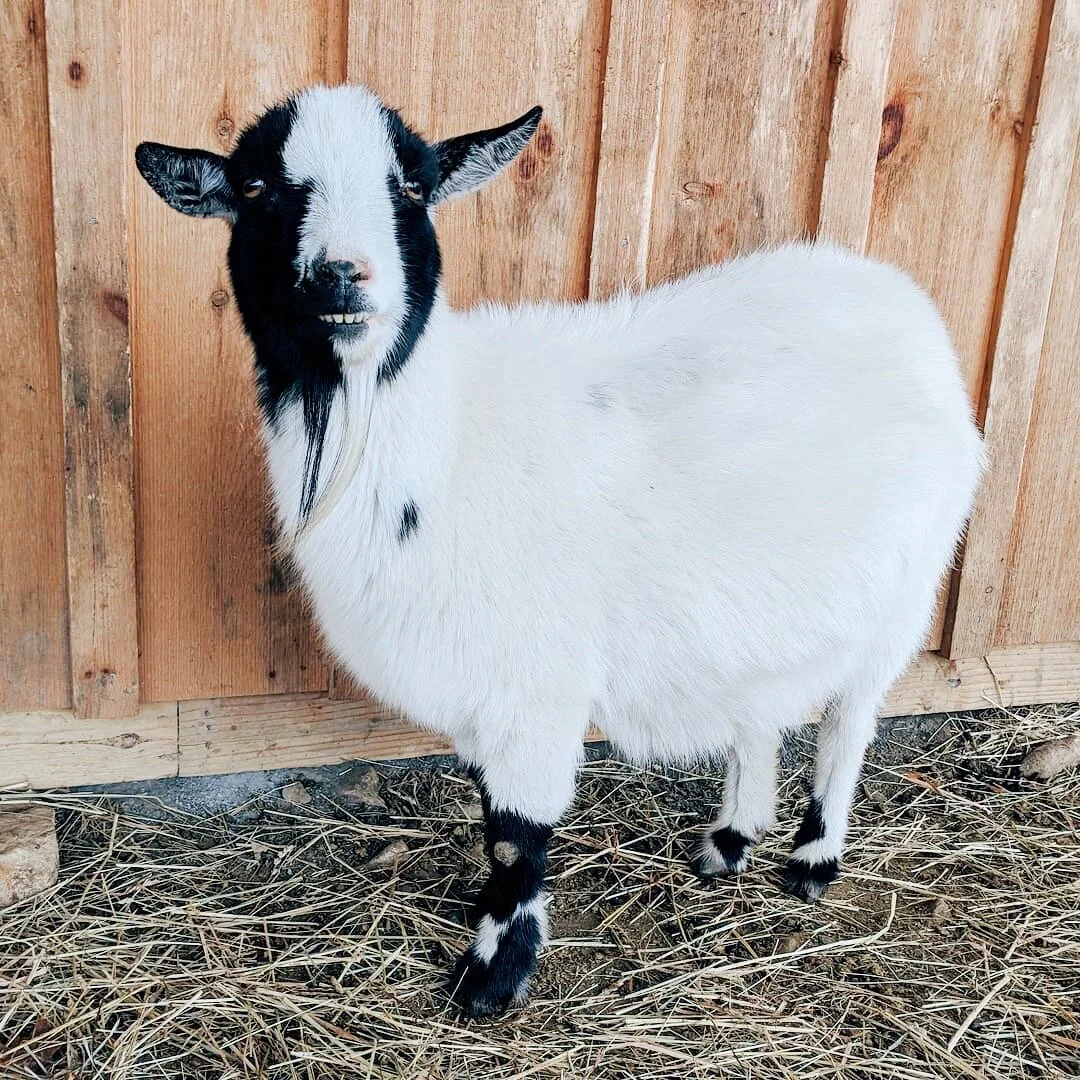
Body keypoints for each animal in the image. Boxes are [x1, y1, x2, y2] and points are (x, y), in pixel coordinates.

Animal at [136, 84, 984, 1017]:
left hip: (906, 590)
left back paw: (813, 857)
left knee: (850, 718)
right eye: (256, 190)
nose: (341, 274)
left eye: (412, 187)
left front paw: (490, 980)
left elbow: (514, 841)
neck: (439, 440)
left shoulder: (535, 685)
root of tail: (888, 288)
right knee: (759, 708)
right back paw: (728, 842)